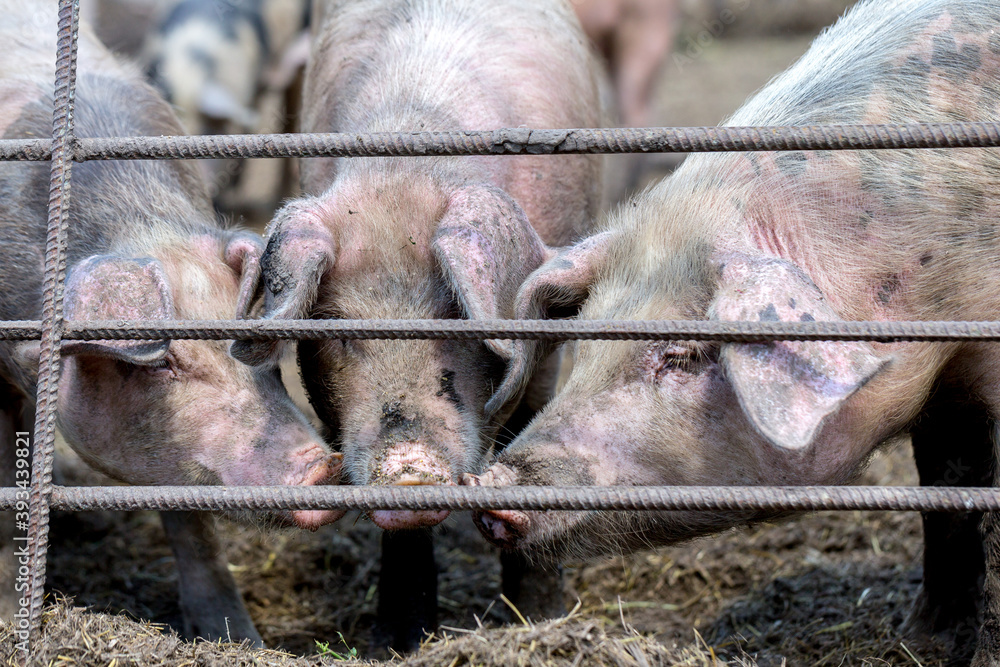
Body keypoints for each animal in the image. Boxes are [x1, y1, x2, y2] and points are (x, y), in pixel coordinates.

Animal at [0, 1, 342, 646]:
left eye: (254, 350)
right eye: (163, 364)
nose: (323, 465)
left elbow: (192, 524)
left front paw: (237, 638)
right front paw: (10, 616)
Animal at [466, 1, 1000, 664]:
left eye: (682, 355)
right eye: (584, 346)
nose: (492, 486)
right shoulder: (947, 385)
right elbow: (946, 501)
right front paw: (919, 638)